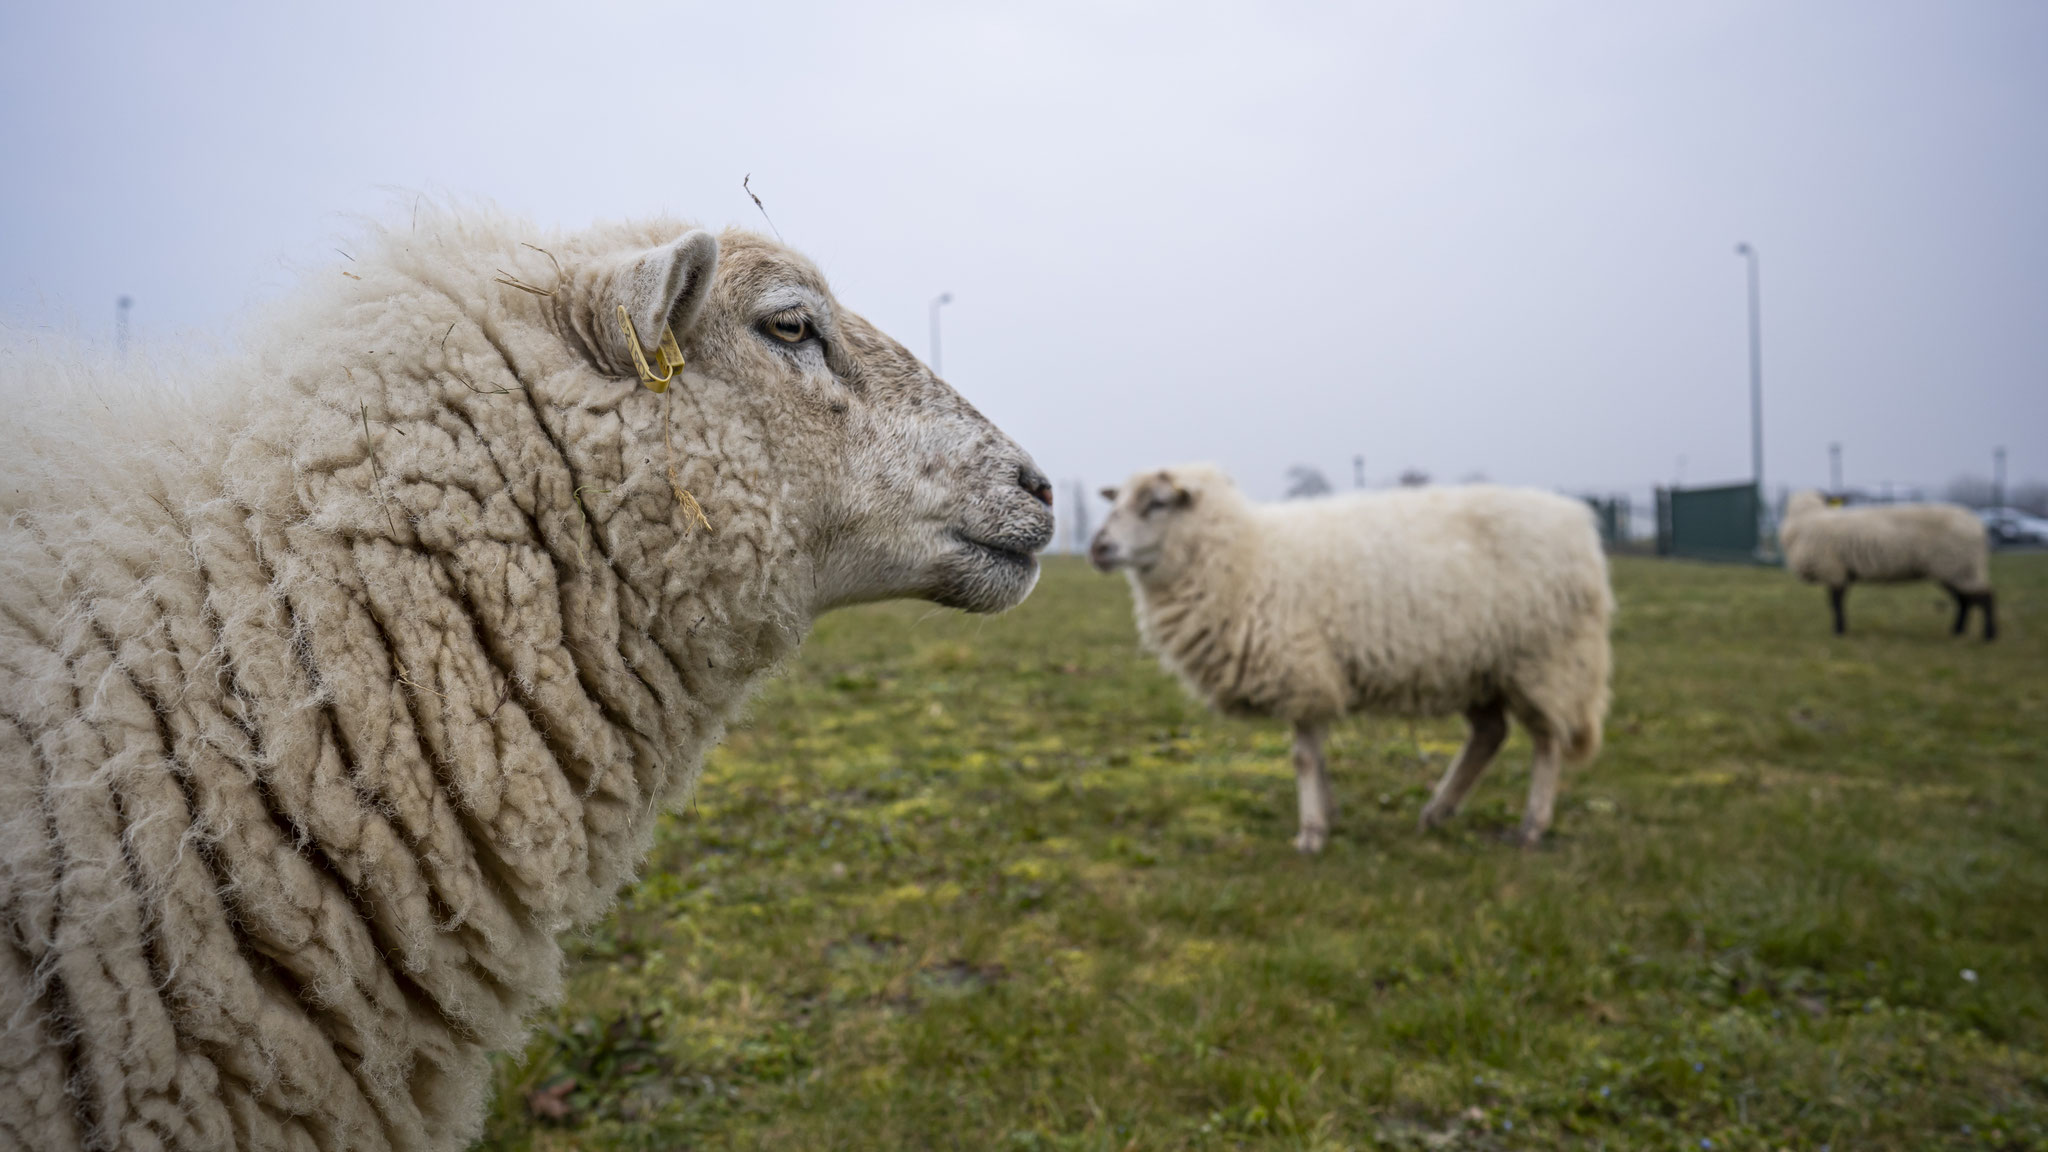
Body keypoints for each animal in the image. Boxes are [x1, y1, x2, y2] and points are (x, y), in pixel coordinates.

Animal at [1089, 465, 1612, 852]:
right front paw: (1330, 814)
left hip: (1546, 658)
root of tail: (1578, 523)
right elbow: (1316, 756)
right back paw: (1437, 811)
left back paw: (1531, 825)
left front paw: (1311, 833)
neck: (1245, 556)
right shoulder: (1313, 677)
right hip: (1476, 666)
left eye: (1156, 503)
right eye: (1116, 502)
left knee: (1547, 739)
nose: (1097, 548)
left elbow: (1303, 757)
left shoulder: (1301, 668)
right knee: (1490, 734)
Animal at [1778, 489, 1995, 639]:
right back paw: (1957, 632)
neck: (1806, 518)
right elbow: (1837, 602)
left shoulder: (1833, 569)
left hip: (1959, 565)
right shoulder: (1840, 571)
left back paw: (1989, 636)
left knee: (1984, 597)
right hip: (1955, 568)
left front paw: (1839, 631)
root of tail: (1978, 525)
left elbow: (1836, 603)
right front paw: (1841, 629)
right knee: (1965, 600)